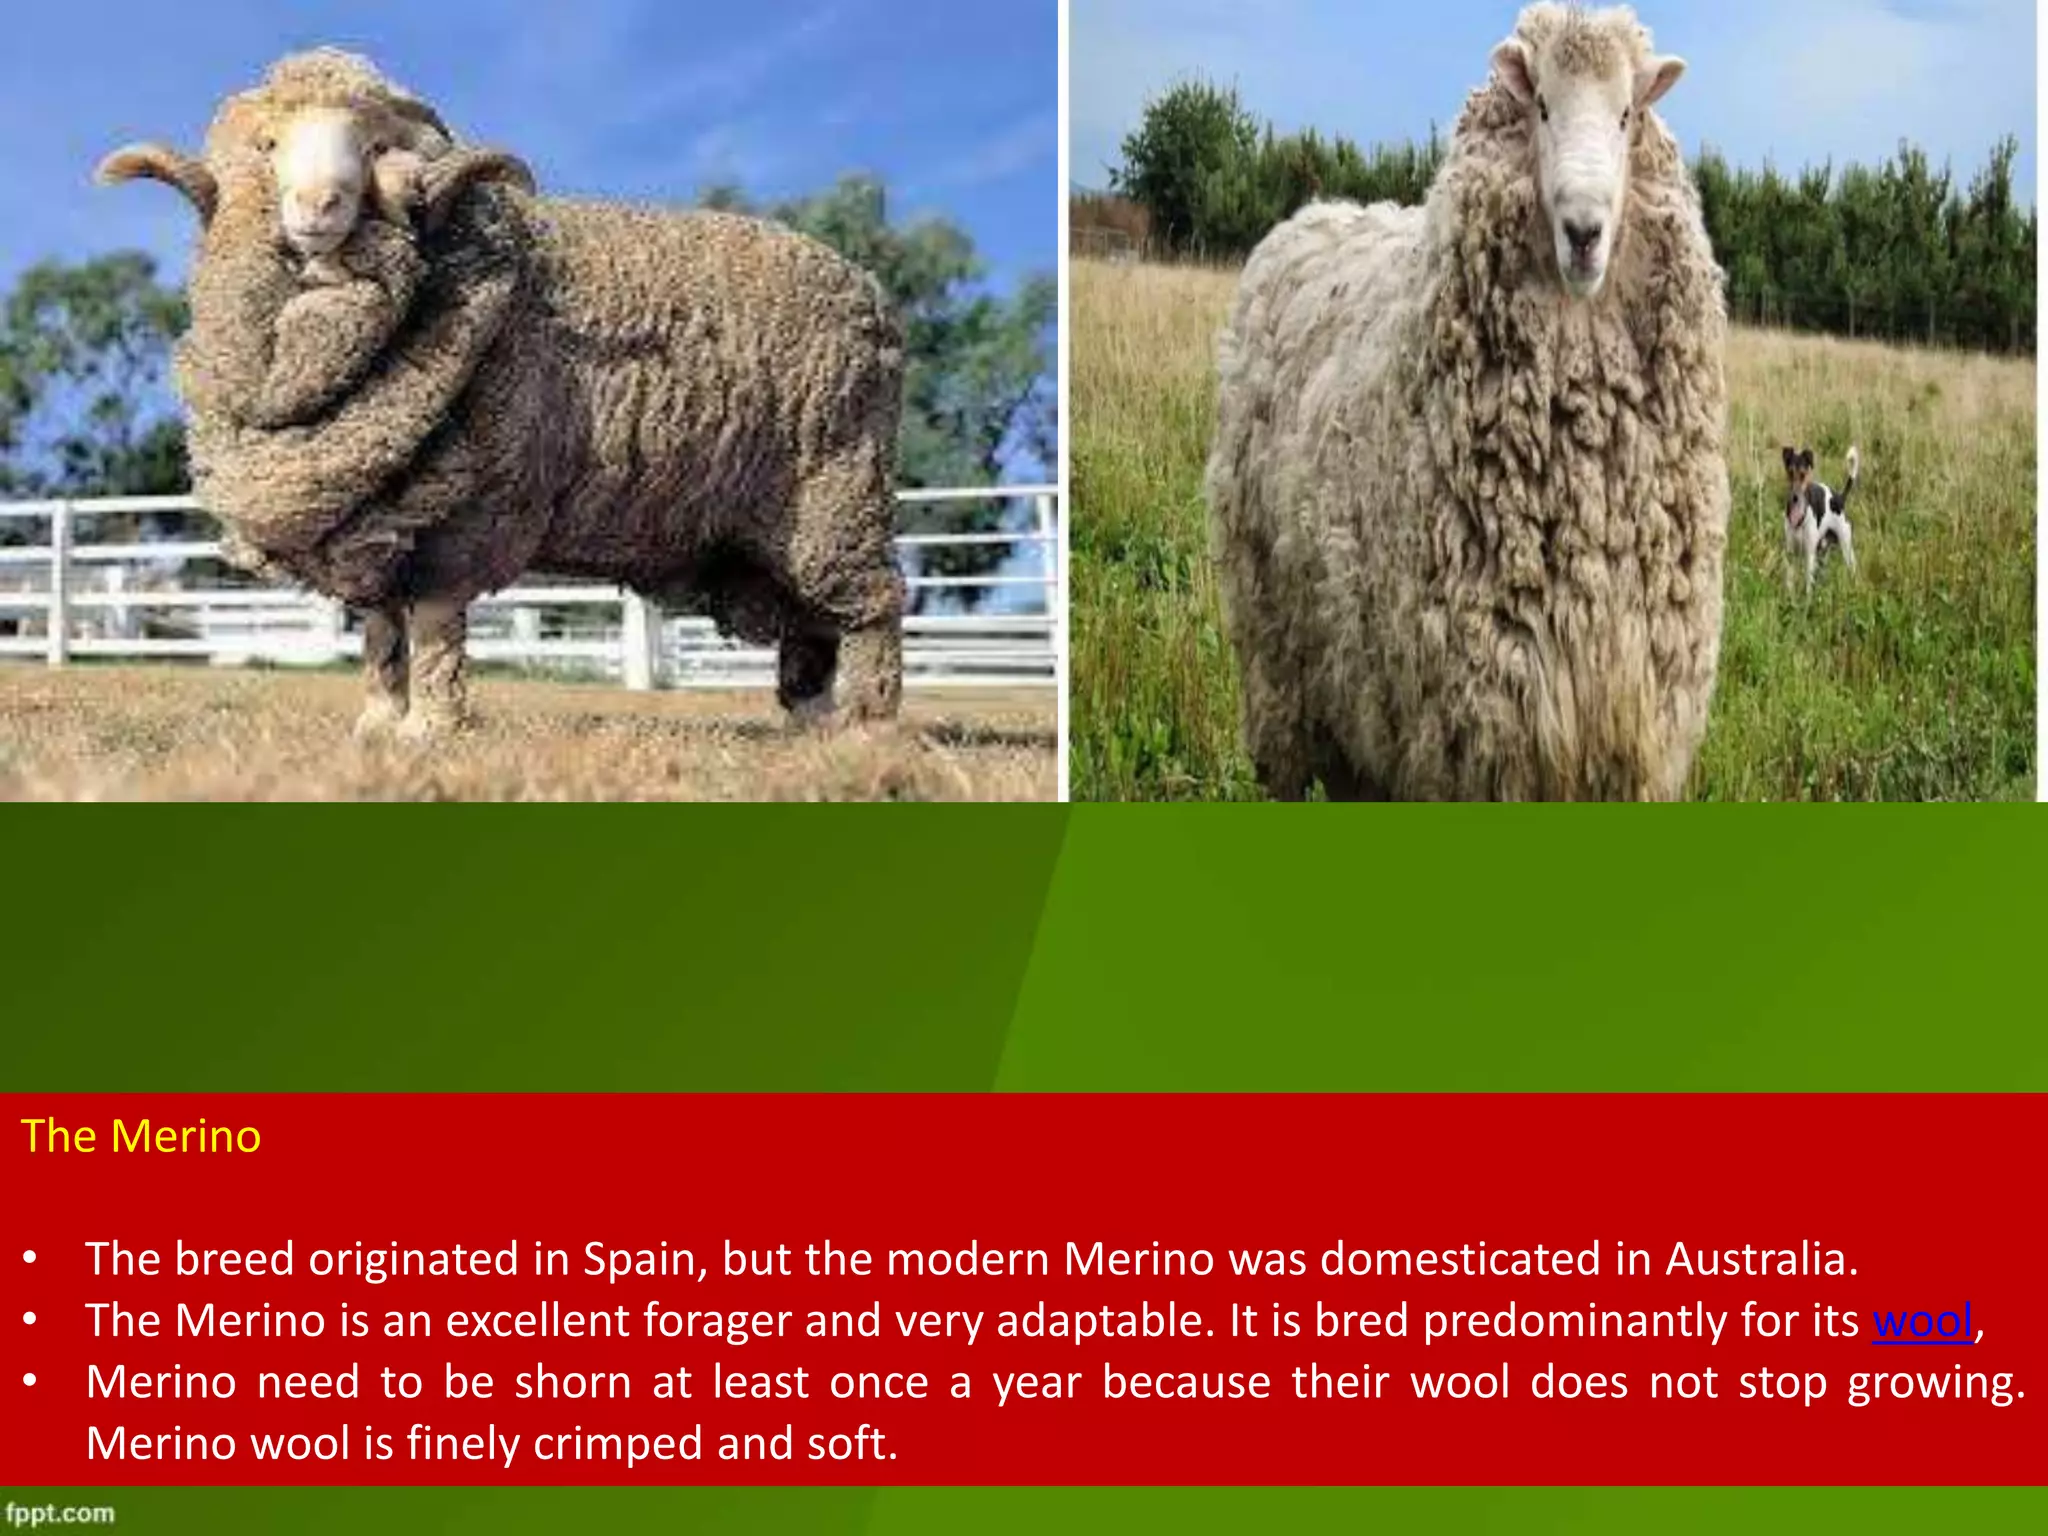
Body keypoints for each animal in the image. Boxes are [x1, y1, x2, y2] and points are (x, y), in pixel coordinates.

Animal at [99, 48, 906, 739]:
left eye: (373, 147)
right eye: (269, 145)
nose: (321, 202)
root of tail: (870, 291)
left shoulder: (473, 511)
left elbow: (430, 622)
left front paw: (429, 729)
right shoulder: (383, 521)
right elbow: (382, 632)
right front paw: (378, 725)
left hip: (837, 490)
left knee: (874, 607)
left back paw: (868, 726)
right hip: (783, 527)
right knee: (812, 622)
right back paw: (811, 725)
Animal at [1206, 4, 1729, 801]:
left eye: (1627, 114)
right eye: (1540, 105)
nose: (1583, 232)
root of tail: (1315, 214)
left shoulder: (1628, 726)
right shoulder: (1478, 730)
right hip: (1278, 651)